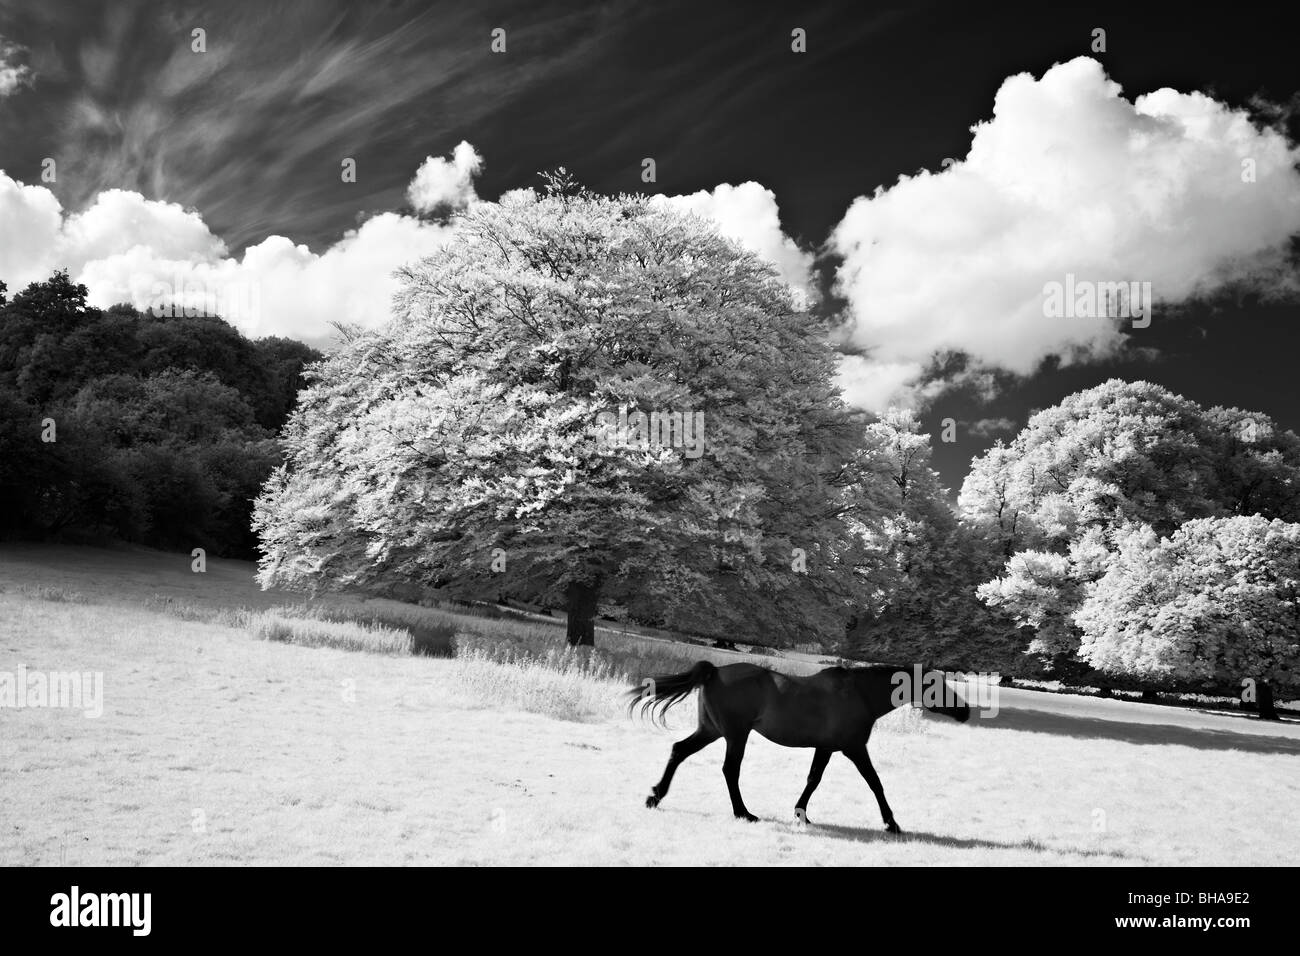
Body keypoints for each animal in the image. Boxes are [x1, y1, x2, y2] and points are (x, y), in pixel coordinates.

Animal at [628, 661, 970, 831]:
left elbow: (813, 779)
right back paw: (743, 813)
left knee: (679, 750)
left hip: (711, 730)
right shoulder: (854, 748)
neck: (859, 694)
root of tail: (714, 671)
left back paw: (654, 796)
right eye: (937, 685)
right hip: (736, 735)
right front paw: (892, 823)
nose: (965, 711)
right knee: (730, 770)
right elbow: (875, 783)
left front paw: (801, 814)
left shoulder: (826, 748)